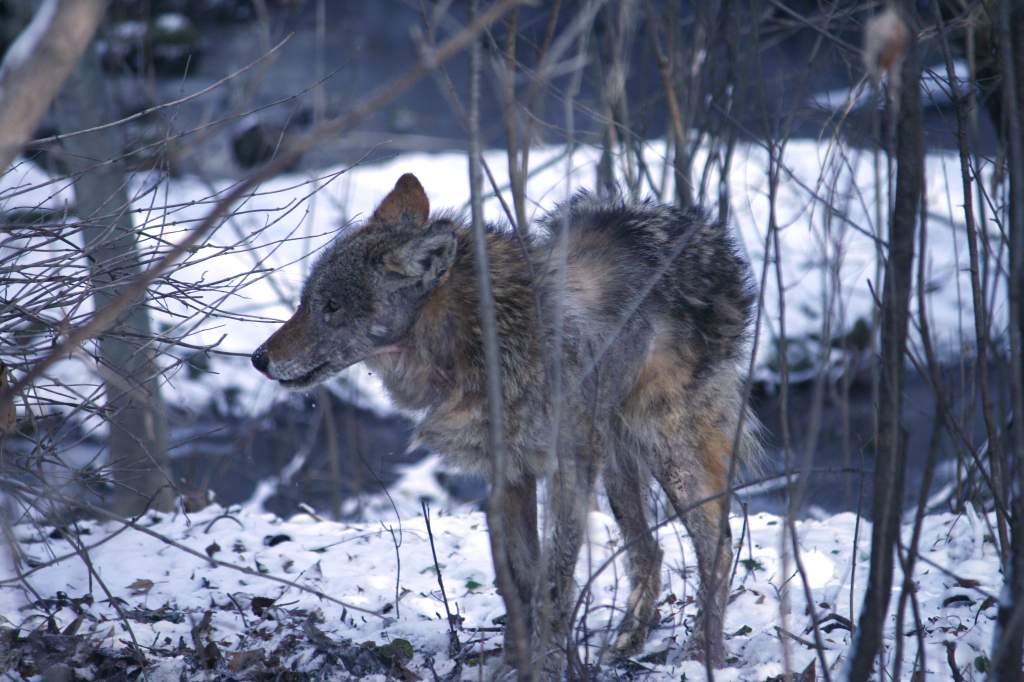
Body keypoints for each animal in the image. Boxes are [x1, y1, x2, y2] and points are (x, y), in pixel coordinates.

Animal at [251, 173, 759, 674]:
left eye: (331, 307)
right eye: (306, 303)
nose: (258, 359)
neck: (482, 338)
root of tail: (708, 235)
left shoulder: (568, 471)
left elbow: (555, 582)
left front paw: (549, 666)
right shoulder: (510, 474)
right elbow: (520, 578)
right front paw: (522, 660)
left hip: (666, 451)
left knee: (716, 549)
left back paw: (702, 657)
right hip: (618, 464)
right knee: (650, 550)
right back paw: (627, 643)